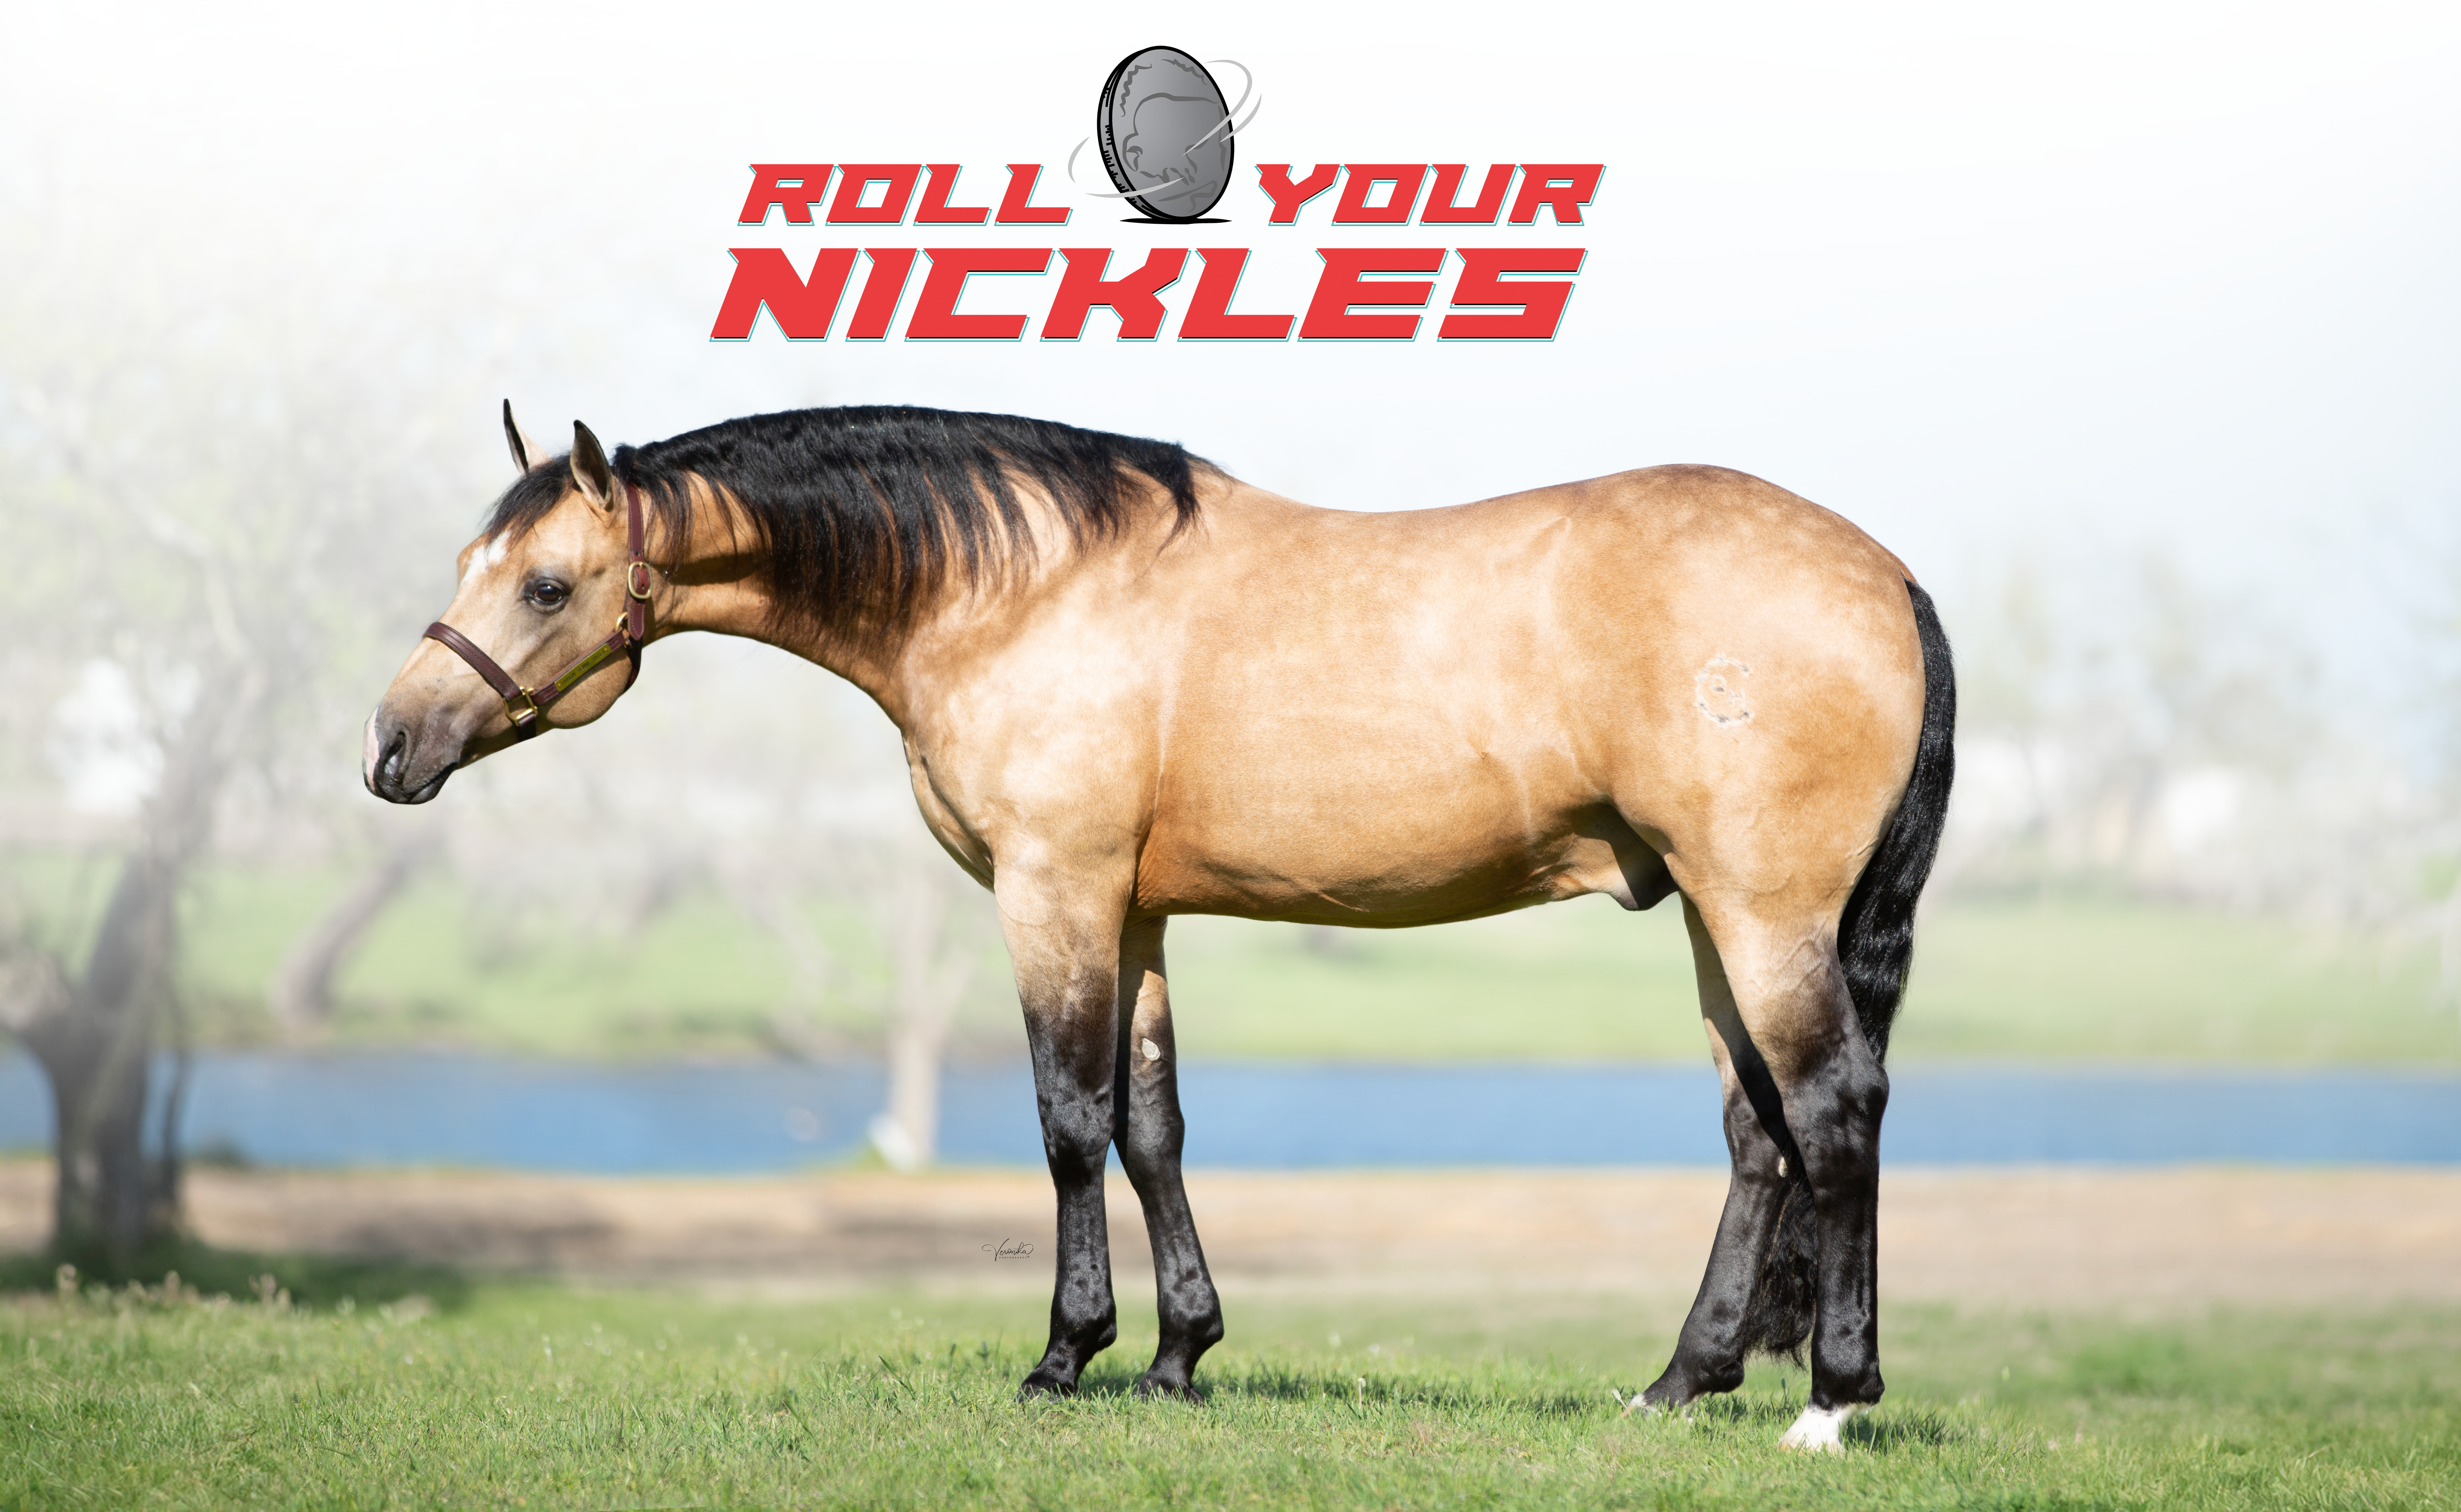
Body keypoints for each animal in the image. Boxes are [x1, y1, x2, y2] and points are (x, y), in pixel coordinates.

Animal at [365, 402, 1954, 1451]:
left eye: (546, 582)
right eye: (462, 566)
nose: (390, 745)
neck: (1020, 589)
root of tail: (1886, 576)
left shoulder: (1052, 892)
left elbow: (1071, 1123)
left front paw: (1065, 1357)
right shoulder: (1129, 913)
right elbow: (1151, 1126)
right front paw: (1178, 1354)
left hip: (1762, 914)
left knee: (1835, 1112)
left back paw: (1828, 1401)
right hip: (1711, 917)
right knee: (1758, 1132)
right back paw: (1678, 1382)